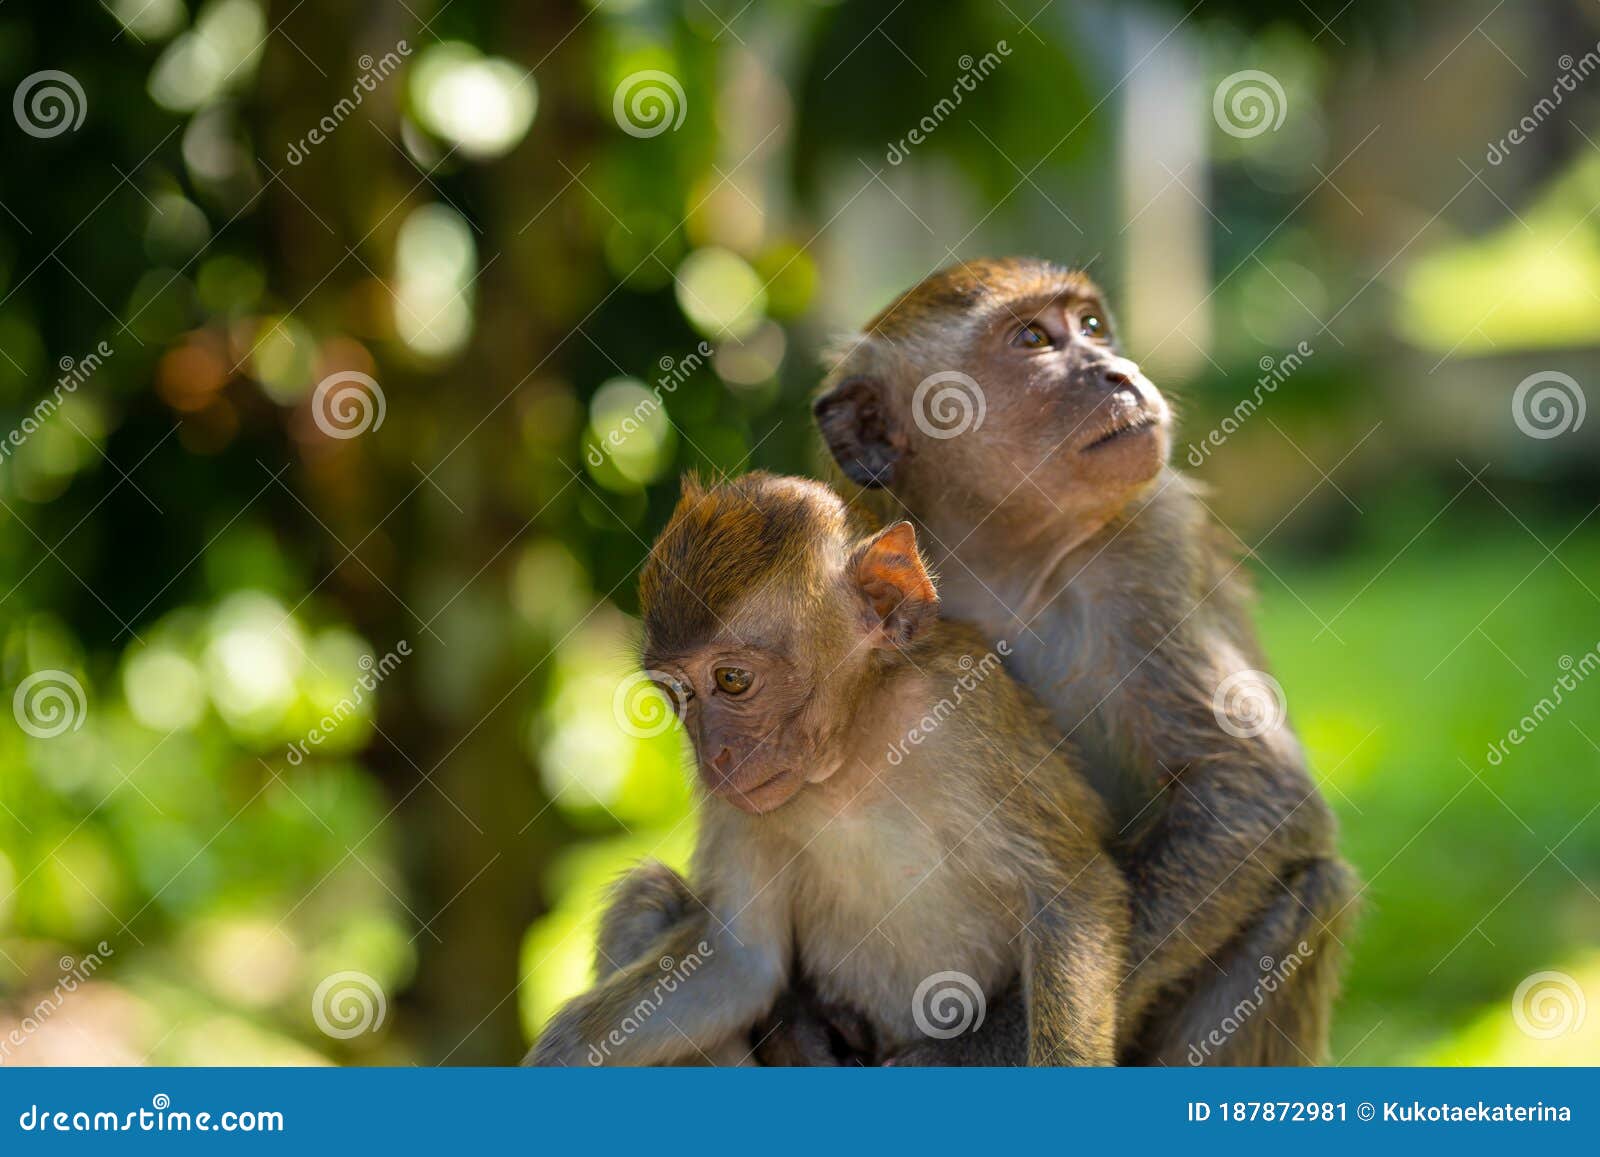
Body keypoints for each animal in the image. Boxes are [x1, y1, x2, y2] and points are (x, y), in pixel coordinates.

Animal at [526, 471, 1129, 1067]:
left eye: (733, 680)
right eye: (678, 693)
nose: (713, 755)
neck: (851, 756)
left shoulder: (963, 714)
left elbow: (1068, 895)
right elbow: (739, 962)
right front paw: (559, 1053)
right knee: (647, 896)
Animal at [799, 258, 1357, 1066]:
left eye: (1091, 327)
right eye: (1034, 339)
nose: (1119, 372)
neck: (1007, 557)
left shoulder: (1151, 542)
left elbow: (1249, 794)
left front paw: (963, 1053)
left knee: (1313, 887)